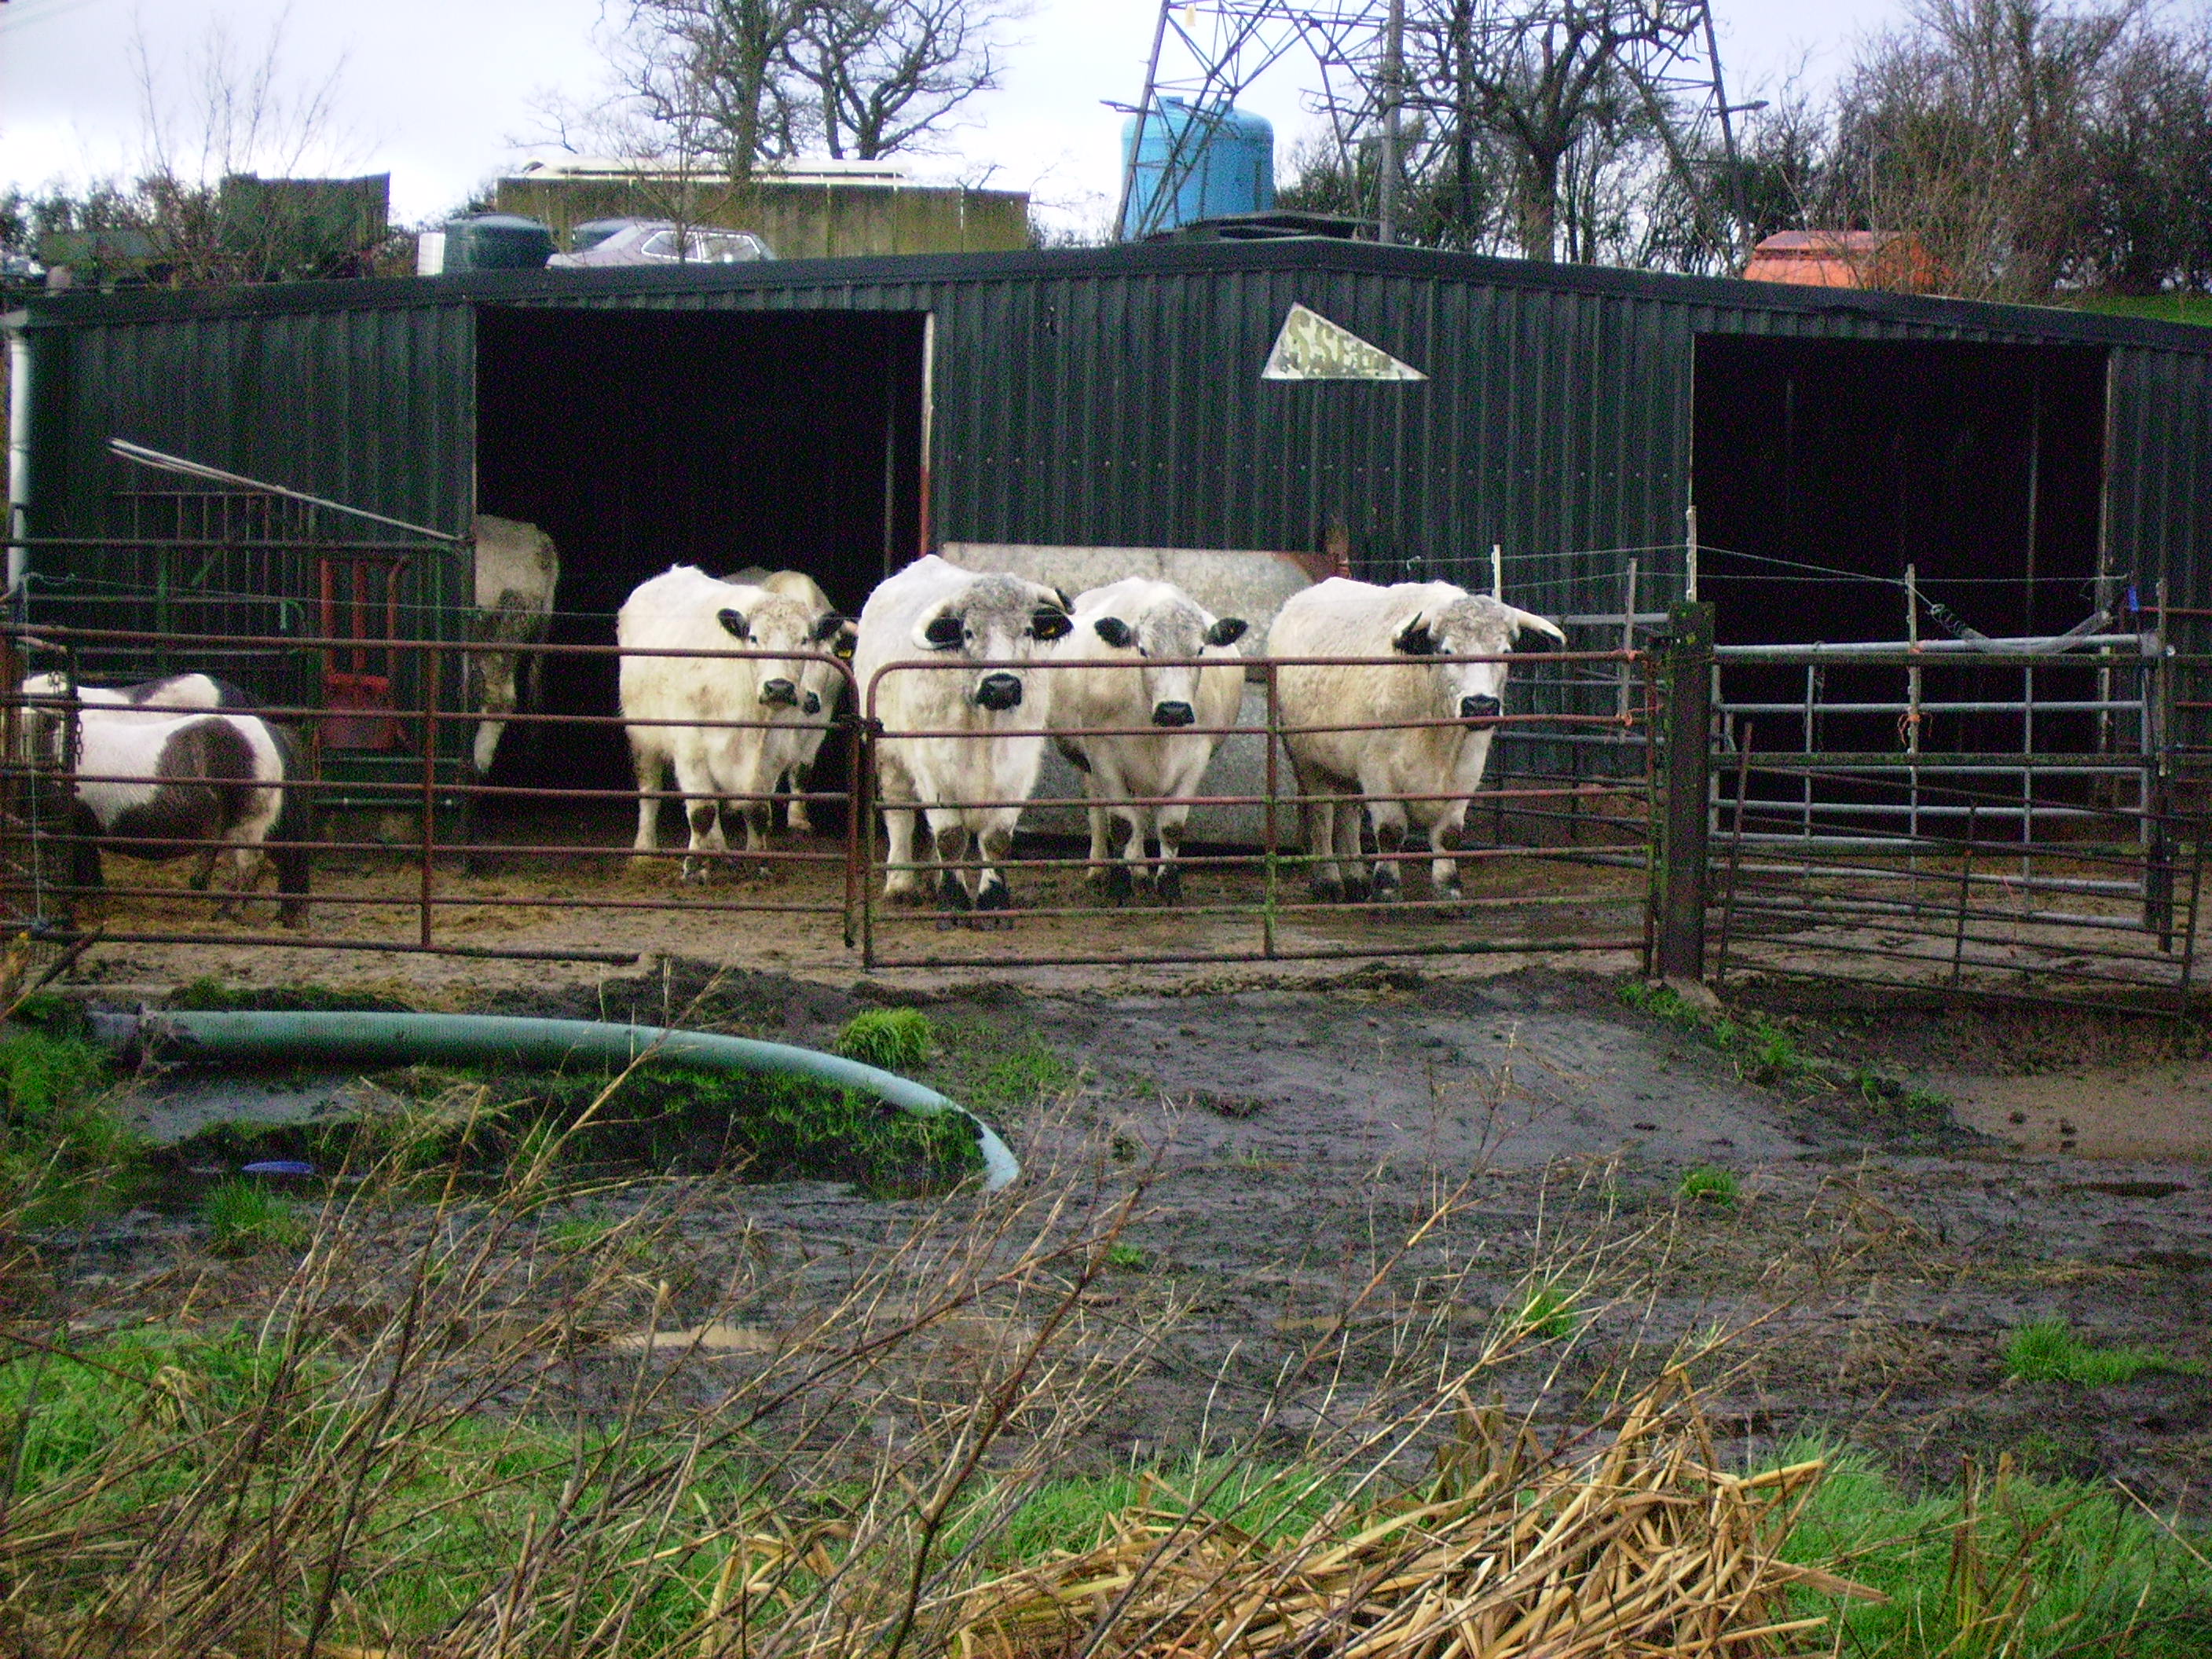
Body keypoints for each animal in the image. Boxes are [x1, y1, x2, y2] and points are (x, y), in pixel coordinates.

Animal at [58, 708, 310, 925]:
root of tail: (272, 734)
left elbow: (87, 871)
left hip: (248, 822)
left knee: (249, 864)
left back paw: (227, 913)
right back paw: (288, 916)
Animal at [619, 565, 843, 880]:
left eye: (804, 640)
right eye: (754, 638)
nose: (779, 687)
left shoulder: (771, 751)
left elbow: (758, 812)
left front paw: (759, 864)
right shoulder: (691, 749)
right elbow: (701, 812)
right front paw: (693, 868)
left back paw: (720, 852)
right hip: (643, 736)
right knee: (651, 792)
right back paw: (645, 851)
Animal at [851, 556, 1073, 917]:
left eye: (1027, 629)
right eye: (968, 632)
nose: (1001, 685)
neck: (984, 726)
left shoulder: (1017, 769)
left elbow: (996, 839)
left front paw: (992, 898)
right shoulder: (932, 769)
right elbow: (951, 836)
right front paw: (954, 898)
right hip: (890, 758)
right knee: (900, 818)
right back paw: (901, 884)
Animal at [1048, 577, 1248, 905]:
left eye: (1200, 649)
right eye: (1143, 650)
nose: (1174, 709)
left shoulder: (1196, 758)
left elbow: (1170, 827)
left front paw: (1168, 887)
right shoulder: (1104, 757)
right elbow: (1120, 824)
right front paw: (1119, 886)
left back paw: (1140, 873)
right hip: (1087, 765)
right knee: (1098, 814)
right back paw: (1099, 872)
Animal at [1268, 579, 1566, 904]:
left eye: (1505, 651)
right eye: (1446, 650)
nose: (1480, 705)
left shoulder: (1466, 772)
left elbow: (1449, 835)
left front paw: (1448, 890)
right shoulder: (1377, 771)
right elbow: (1390, 831)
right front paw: (1386, 889)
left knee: (1348, 817)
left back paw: (1356, 880)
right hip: (1309, 762)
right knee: (1322, 819)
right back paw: (1329, 882)